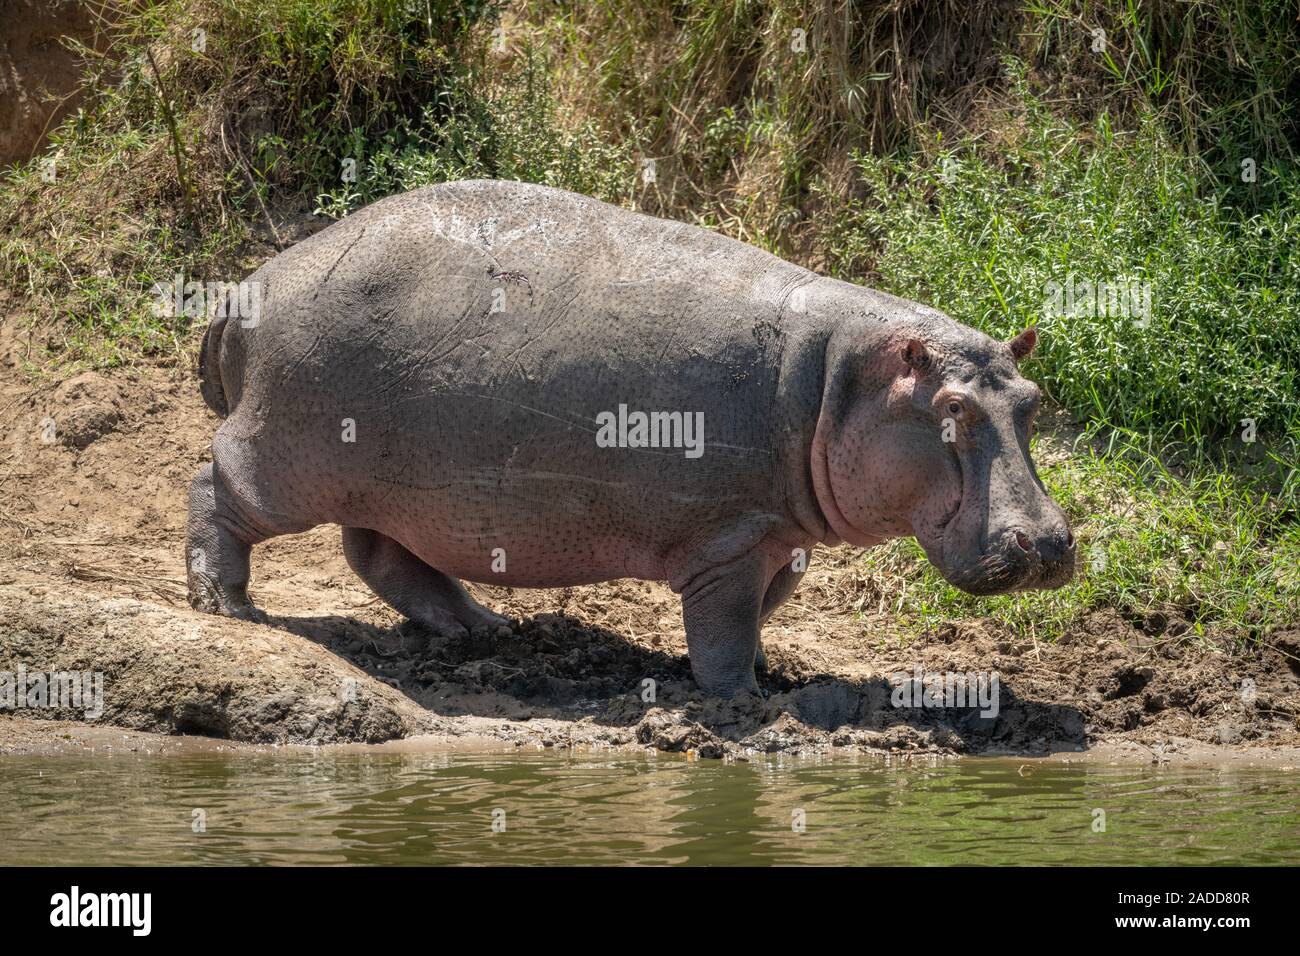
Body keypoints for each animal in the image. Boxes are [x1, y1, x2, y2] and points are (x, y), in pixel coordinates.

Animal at [188, 179, 1075, 696]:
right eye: (951, 410)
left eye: (1033, 401)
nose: (1049, 543)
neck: (837, 382)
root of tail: (246, 287)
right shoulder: (726, 540)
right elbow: (724, 628)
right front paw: (744, 703)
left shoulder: (777, 536)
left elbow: (766, 609)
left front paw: (770, 672)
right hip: (284, 456)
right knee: (216, 490)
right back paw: (227, 605)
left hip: (382, 483)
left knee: (380, 555)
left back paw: (484, 628)